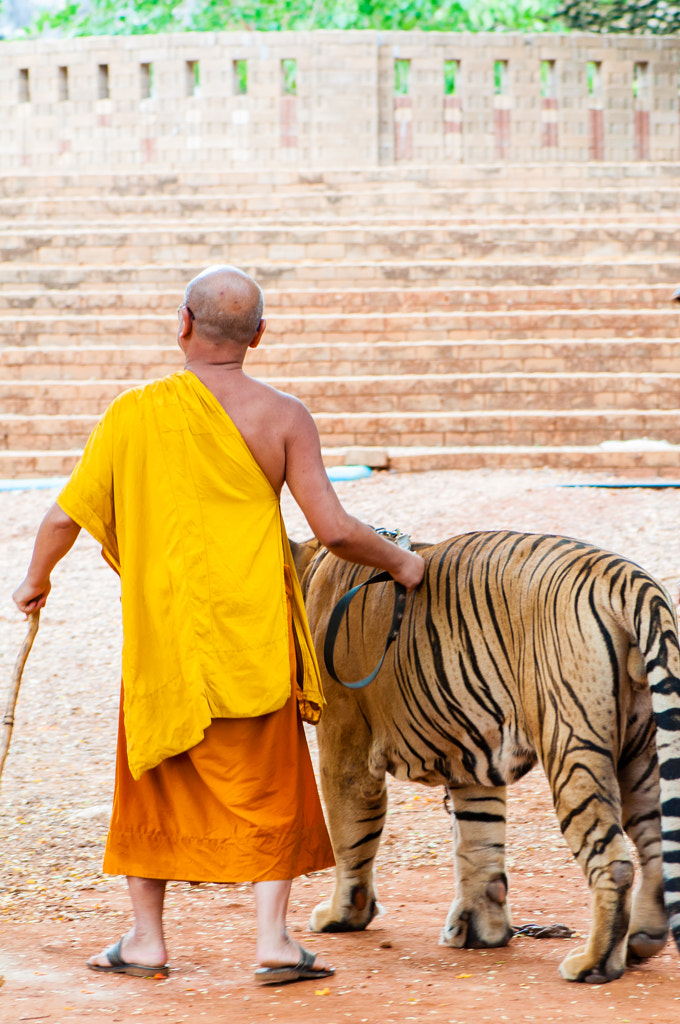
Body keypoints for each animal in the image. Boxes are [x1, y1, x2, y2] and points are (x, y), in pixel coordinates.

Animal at [290, 530, 680, 984]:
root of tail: (628, 579)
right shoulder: (472, 757)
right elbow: (479, 839)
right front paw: (483, 931)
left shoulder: (344, 742)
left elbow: (350, 834)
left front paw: (341, 916)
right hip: (642, 753)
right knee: (655, 847)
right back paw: (640, 941)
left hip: (573, 747)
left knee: (614, 862)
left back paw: (593, 964)